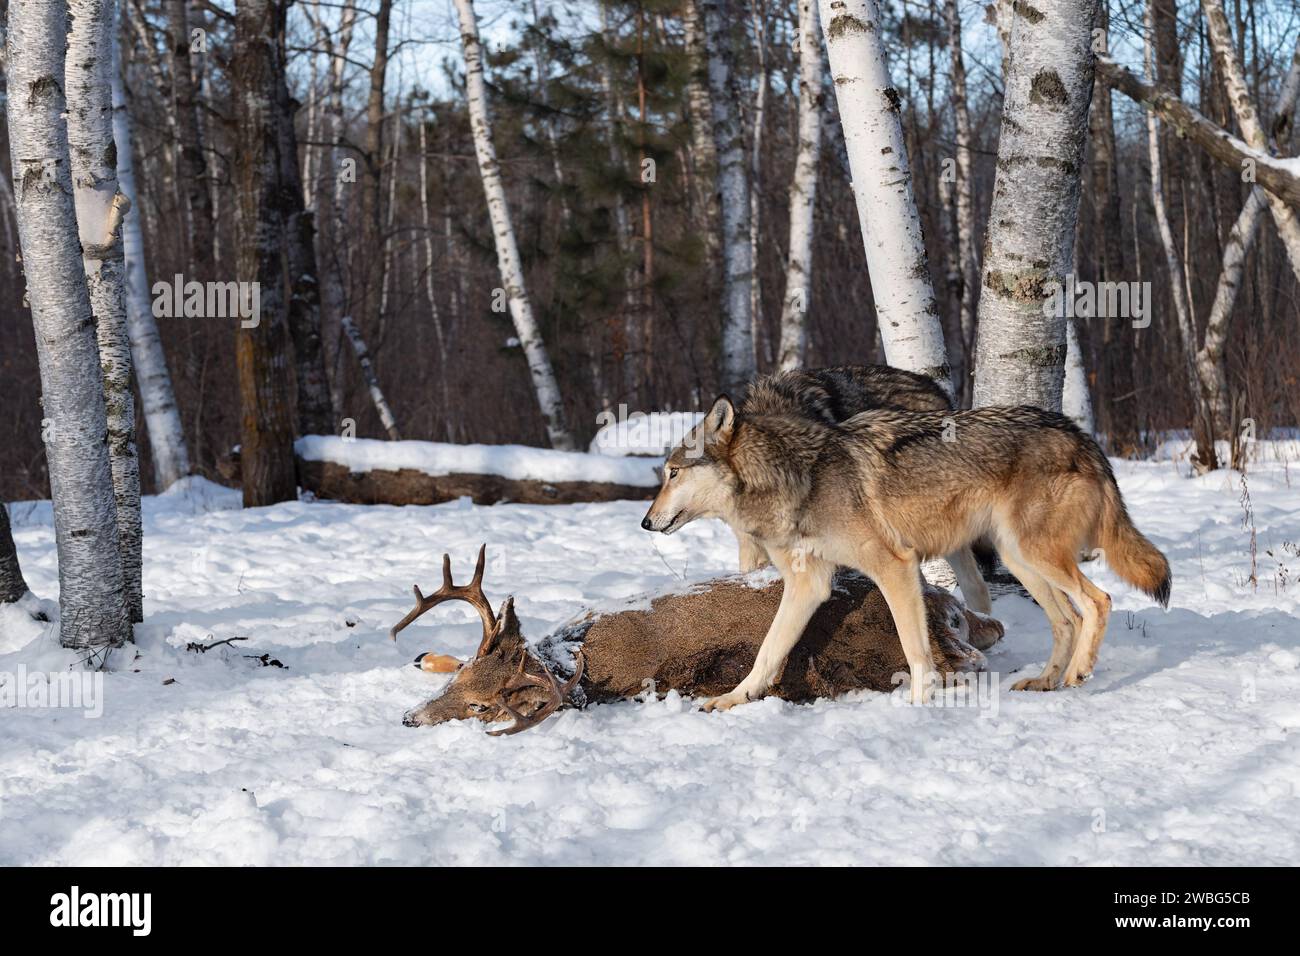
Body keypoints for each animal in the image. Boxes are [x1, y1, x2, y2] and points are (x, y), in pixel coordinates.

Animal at [641, 397, 1171, 708]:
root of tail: (1081, 433)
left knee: (1098, 602)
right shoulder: (808, 585)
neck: (795, 479)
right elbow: (768, 651)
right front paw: (734, 697)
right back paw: (1046, 682)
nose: (646, 521)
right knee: (1068, 620)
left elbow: (915, 648)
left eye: (672, 473)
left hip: (1037, 555)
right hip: (1022, 559)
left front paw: (919, 704)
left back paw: (1078, 672)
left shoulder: (894, 567)